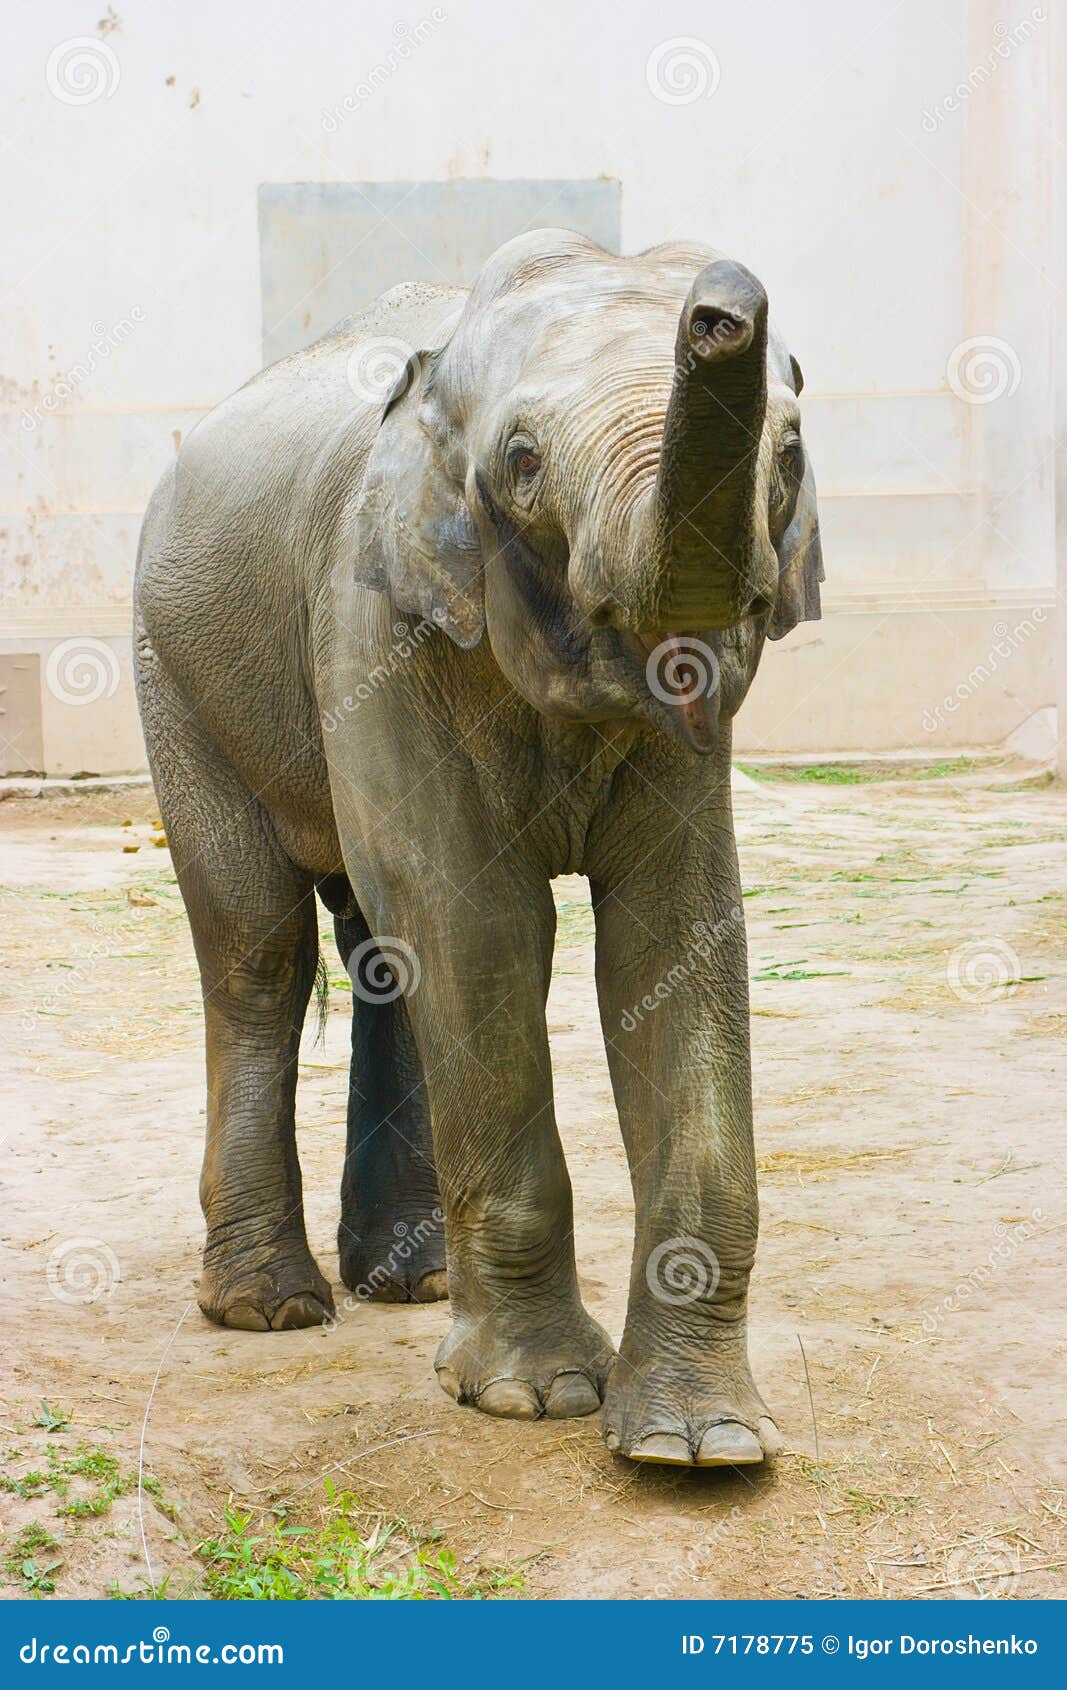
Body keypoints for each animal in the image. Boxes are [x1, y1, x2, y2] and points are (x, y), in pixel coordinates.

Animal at [134, 227, 823, 1467]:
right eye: (522, 462)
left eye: (787, 454)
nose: (719, 308)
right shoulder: (370, 620)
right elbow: (480, 918)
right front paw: (532, 1399)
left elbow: (673, 930)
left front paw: (697, 1448)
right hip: (175, 674)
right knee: (260, 950)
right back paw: (271, 1306)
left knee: (377, 951)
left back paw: (407, 1283)